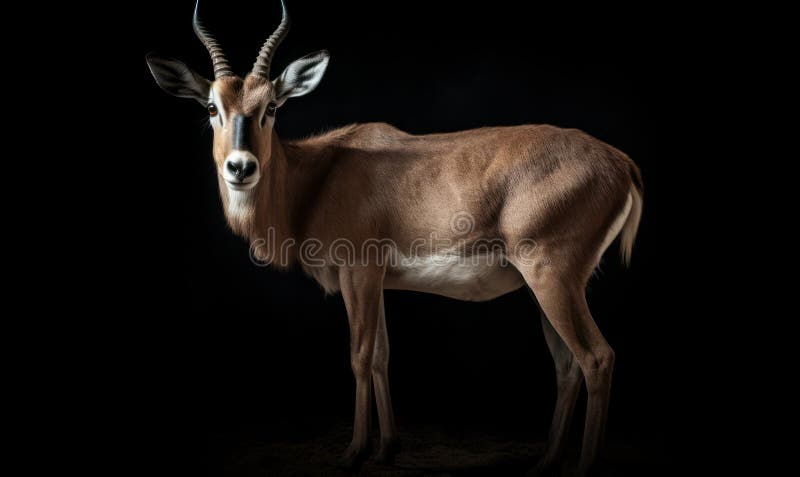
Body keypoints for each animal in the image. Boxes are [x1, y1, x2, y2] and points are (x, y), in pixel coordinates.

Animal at [147, 1, 643, 475]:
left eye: (271, 106)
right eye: (212, 107)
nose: (240, 167)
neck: (317, 176)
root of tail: (621, 163)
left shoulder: (358, 273)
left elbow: (360, 355)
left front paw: (354, 453)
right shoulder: (378, 282)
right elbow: (383, 354)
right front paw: (386, 449)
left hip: (552, 279)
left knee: (596, 357)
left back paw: (582, 466)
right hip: (547, 288)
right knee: (567, 364)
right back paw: (545, 463)